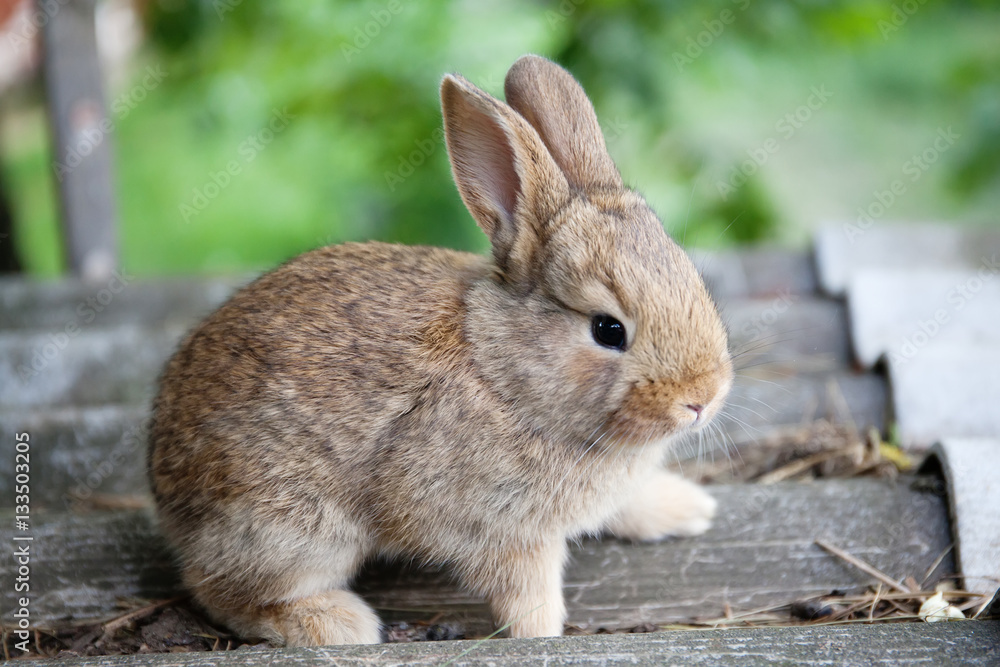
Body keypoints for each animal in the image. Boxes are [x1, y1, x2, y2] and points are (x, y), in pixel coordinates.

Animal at [148, 54, 733, 647]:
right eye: (608, 330)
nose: (701, 399)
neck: (504, 370)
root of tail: (165, 492)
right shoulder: (502, 530)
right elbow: (527, 595)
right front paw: (545, 636)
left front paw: (689, 509)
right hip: (298, 531)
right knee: (221, 590)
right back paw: (339, 623)